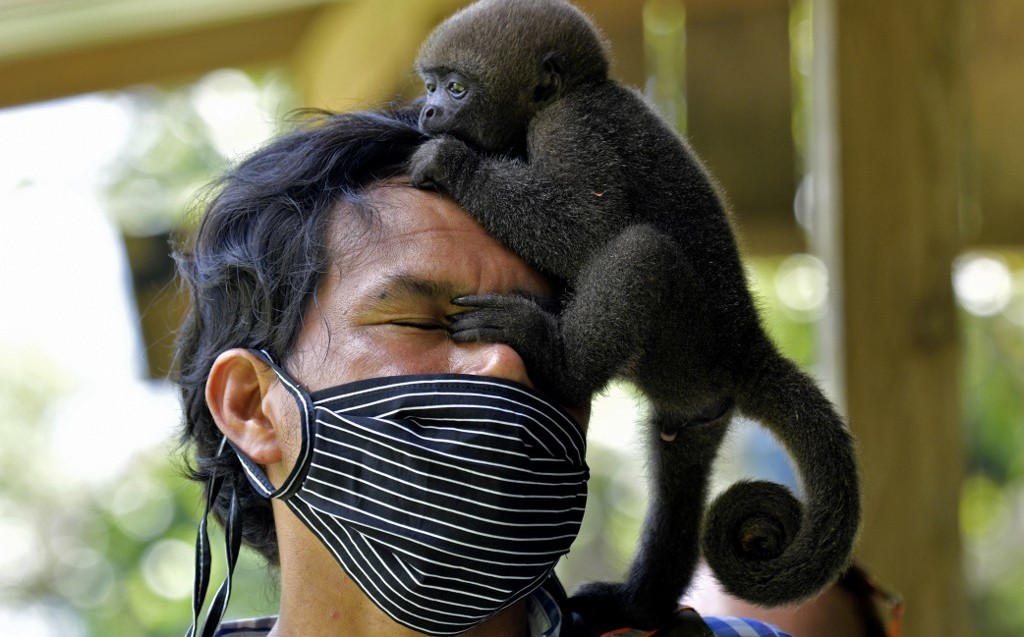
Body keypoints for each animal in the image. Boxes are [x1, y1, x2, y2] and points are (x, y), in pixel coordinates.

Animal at [407, 0, 861, 632]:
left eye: (456, 87)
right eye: (429, 84)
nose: (428, 109)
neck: (577, 90)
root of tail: (749, 343)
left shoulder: (571, 127)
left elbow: (585, 226)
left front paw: (452, 164)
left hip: (690, 339)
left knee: (641, 250)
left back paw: (556, 359)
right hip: (695, 404)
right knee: (679, 473)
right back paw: (640, 604)